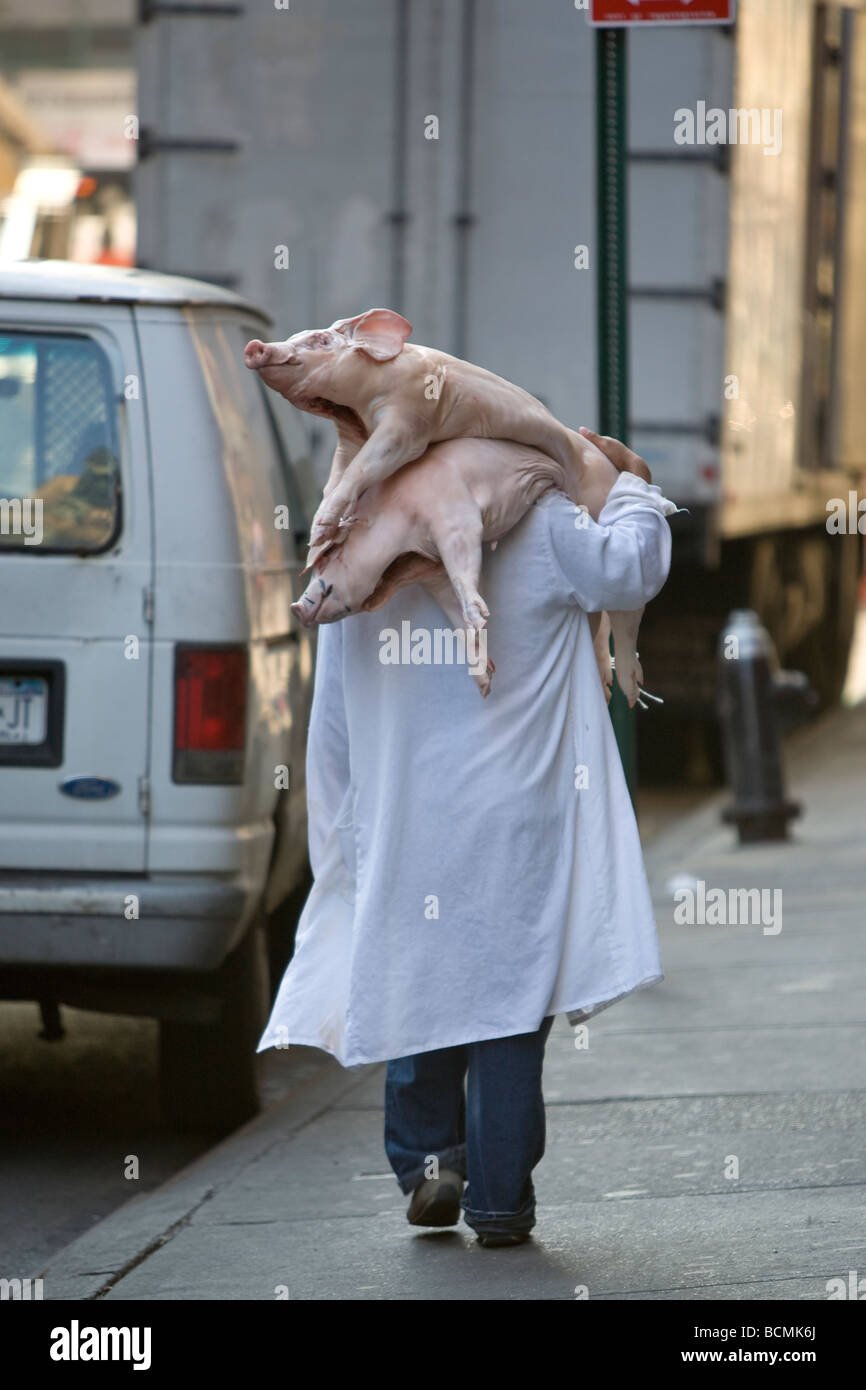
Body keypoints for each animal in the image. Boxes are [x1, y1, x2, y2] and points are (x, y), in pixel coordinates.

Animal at [290, 433, 663, 705]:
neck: (405, 539)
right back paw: (607, 689)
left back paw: (631, 693)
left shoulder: (455, 516)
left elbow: (465, 563)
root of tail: (609, 464)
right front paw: (485, 683)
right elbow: (452, 607)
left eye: (332, 554)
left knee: (629, 612)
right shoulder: (430, 568)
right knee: (601, 623)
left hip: (601, 500)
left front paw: (480, 612)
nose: (295, 607)